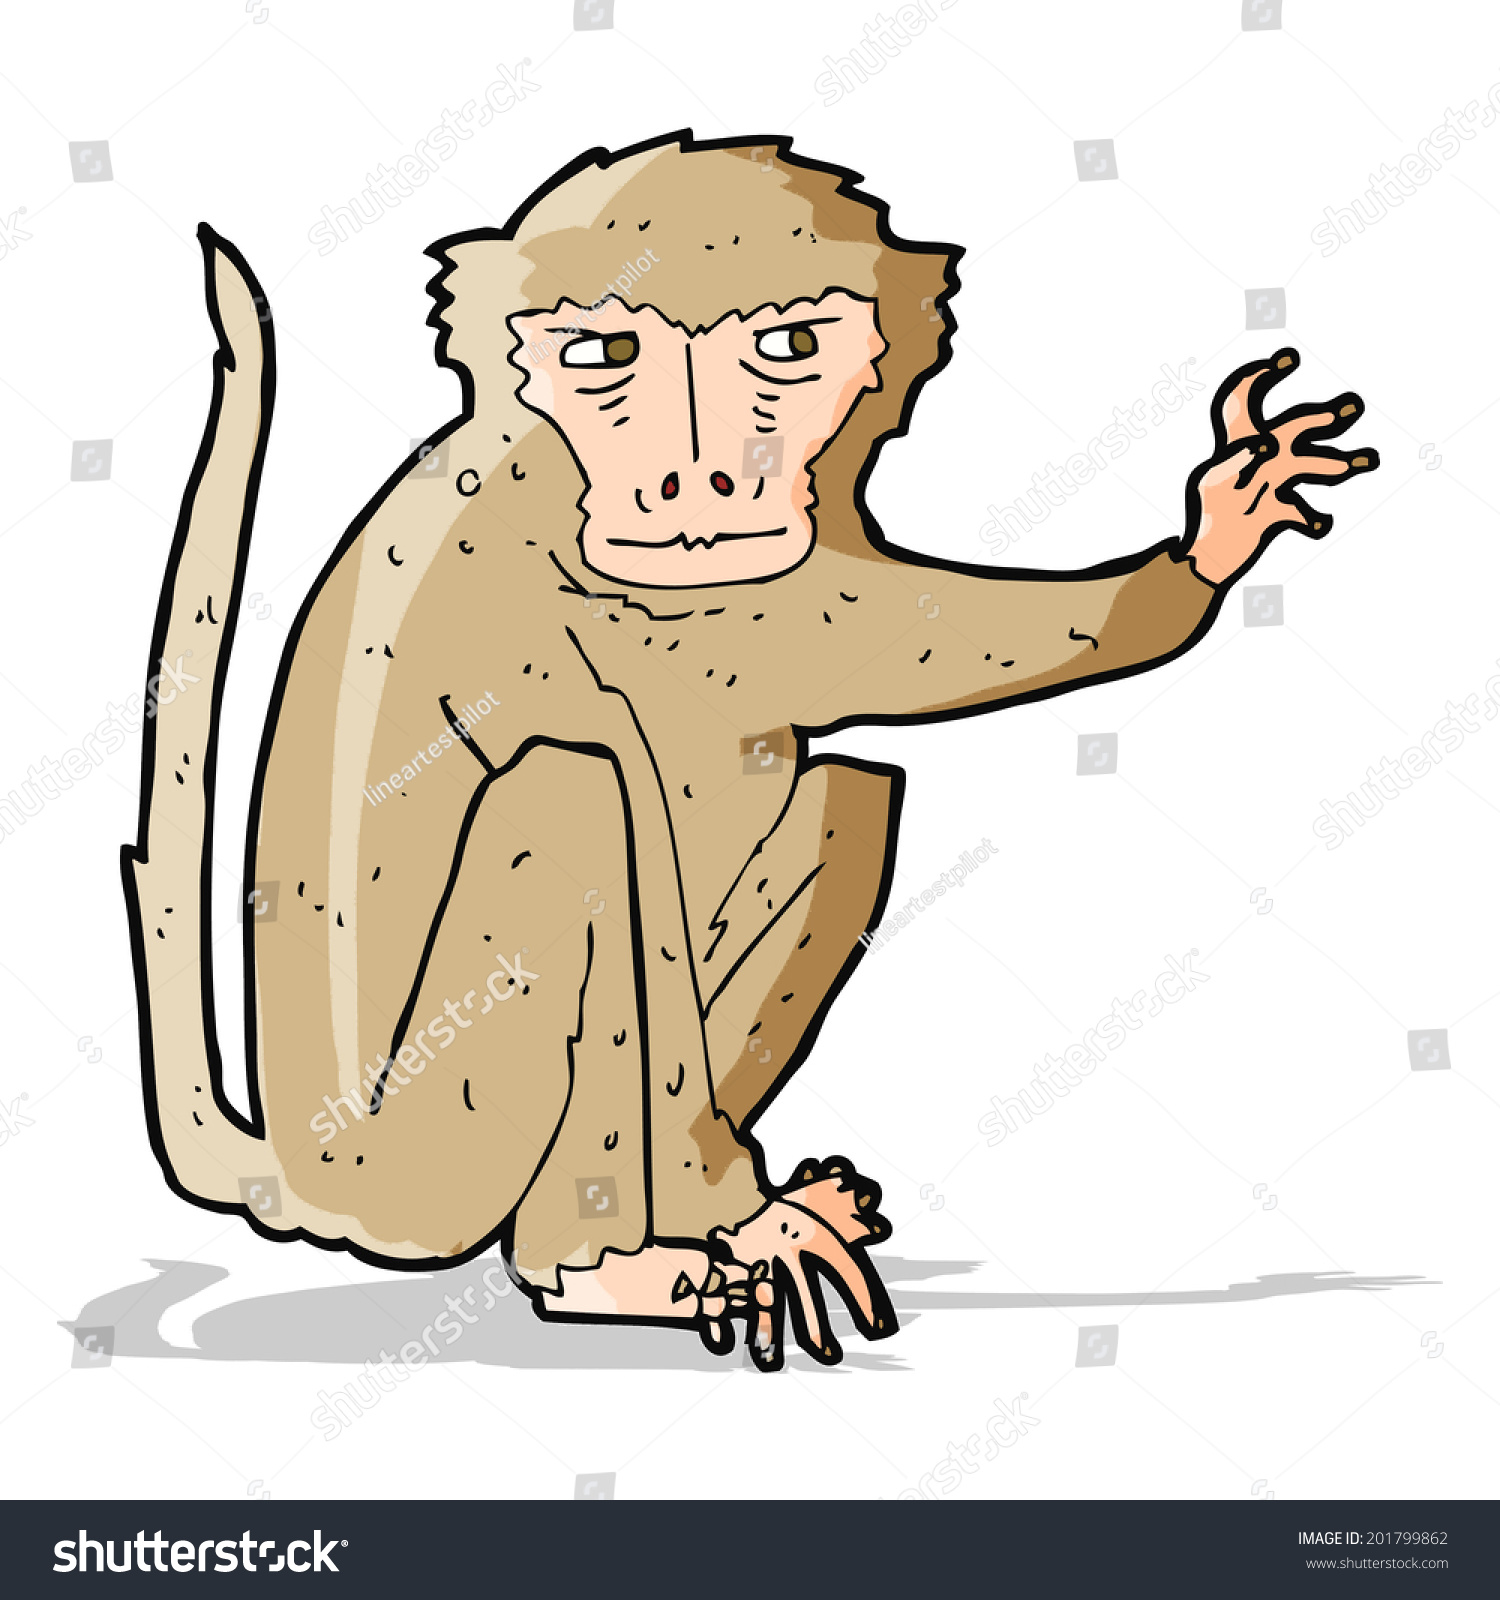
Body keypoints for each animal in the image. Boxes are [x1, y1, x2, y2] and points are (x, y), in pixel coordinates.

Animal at [123, 132, 1378, 1370]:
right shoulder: (597, 605)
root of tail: (301, 1173)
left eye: (786, 348)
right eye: (603, 353)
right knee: (579, 798)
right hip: (425, 1148)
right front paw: (746, 1216)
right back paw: (609, 1265)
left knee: (843, 790)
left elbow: (907, 664)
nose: (698, 481)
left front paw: (1221, 519)